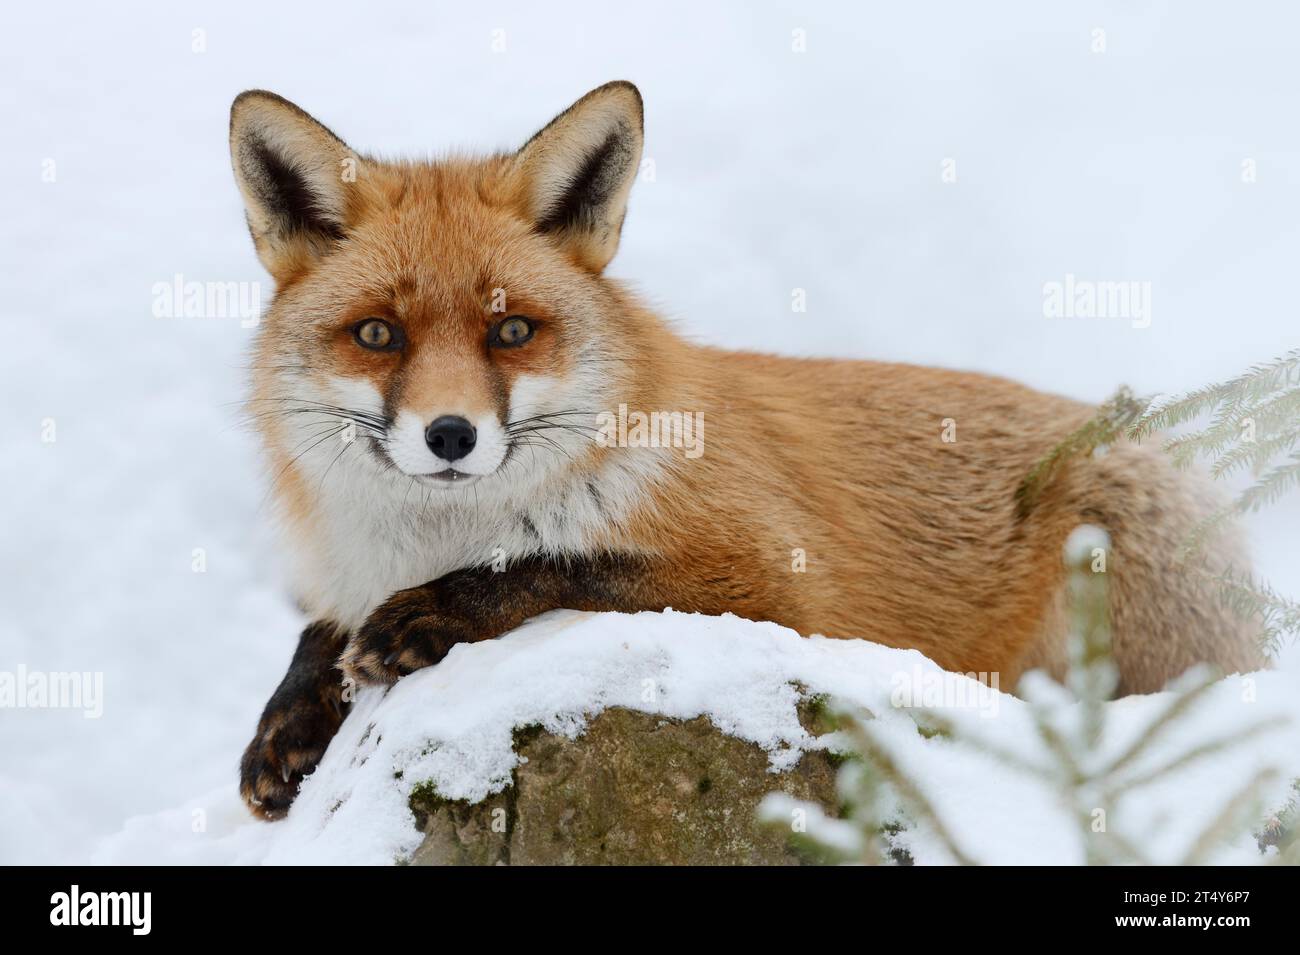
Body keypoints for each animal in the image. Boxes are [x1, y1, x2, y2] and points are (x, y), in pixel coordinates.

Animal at [230, 81, 1264, 819]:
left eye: (512, 331)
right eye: (378, 335)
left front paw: (430, 617)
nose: (451, 434)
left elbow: (565, 568)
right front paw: (288, 721)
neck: (439, 539)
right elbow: (317, 630)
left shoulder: (780, 590)